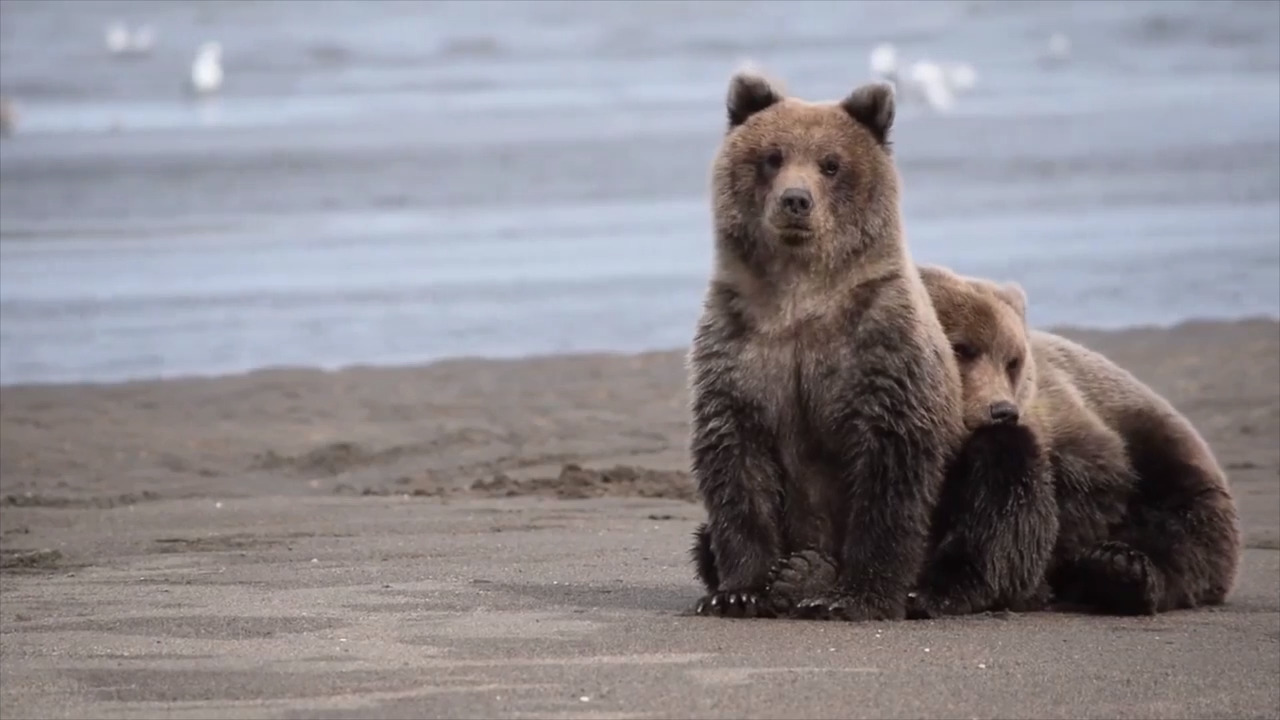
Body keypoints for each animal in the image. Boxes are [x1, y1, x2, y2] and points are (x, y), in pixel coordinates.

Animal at [687, 66, 964, 622]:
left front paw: (856, 596)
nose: (796, 200)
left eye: (831, 164)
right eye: (772, 156)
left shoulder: (880, 345)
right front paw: (738, 589)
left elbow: (889, 474)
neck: (801, 300)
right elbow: (736, 466)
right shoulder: (739, 346)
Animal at [751, 264, 1243, 618]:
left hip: (1174, 470)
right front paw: (804, 572)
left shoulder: (1065, 424)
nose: (1001, 410)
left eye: (1012, 360)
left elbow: (1082, 487)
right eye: (962, 348)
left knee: (1179, 536)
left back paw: (1120, 573)